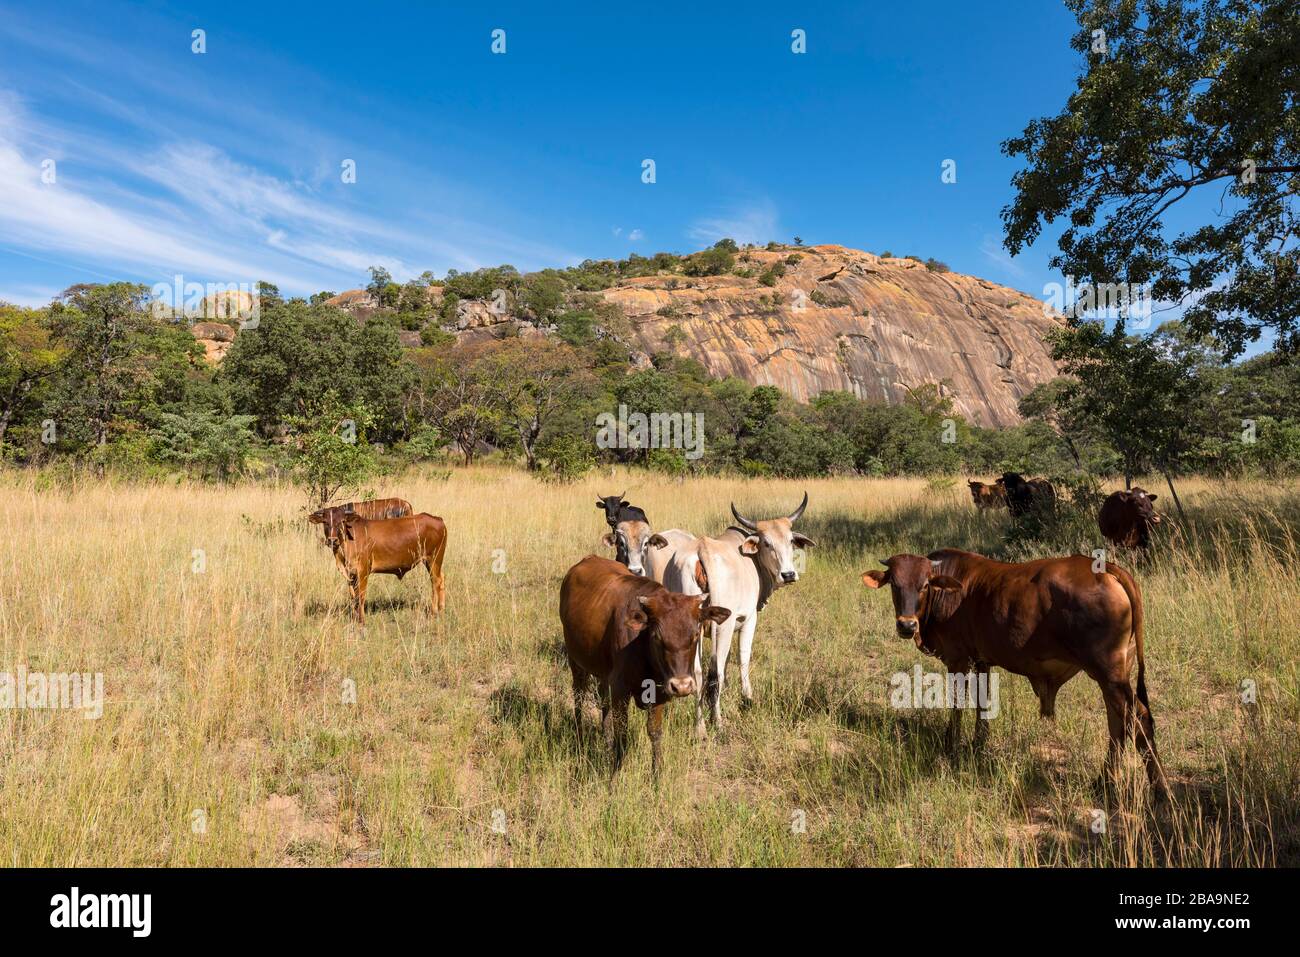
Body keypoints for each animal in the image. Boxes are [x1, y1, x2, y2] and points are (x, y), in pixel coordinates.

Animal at [559, 555, 730, 776]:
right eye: (657, 636)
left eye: (694, 635)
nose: (682, 686)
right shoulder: (621, 690)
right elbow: (622, 736)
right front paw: (614, 776)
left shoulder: (659, 692)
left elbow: (655, 733)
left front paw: (656, 775)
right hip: (577, 664)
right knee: (579, 700)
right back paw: (581, 741)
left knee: (603, 701)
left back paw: (606, 740)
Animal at [861, 549, 1167, 798]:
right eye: (895, 585)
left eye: (924, 585)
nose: (907, 625)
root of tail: (1107, 569)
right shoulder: (981, 662)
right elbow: (982, 704)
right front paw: (978, 744)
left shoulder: (958, 660)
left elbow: (958, 705)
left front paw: (952, 745)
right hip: (1114, 676)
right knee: (1119, 723)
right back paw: (1107, 782)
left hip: (1109, 674)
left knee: (1138, 719)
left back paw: (1157, 789)